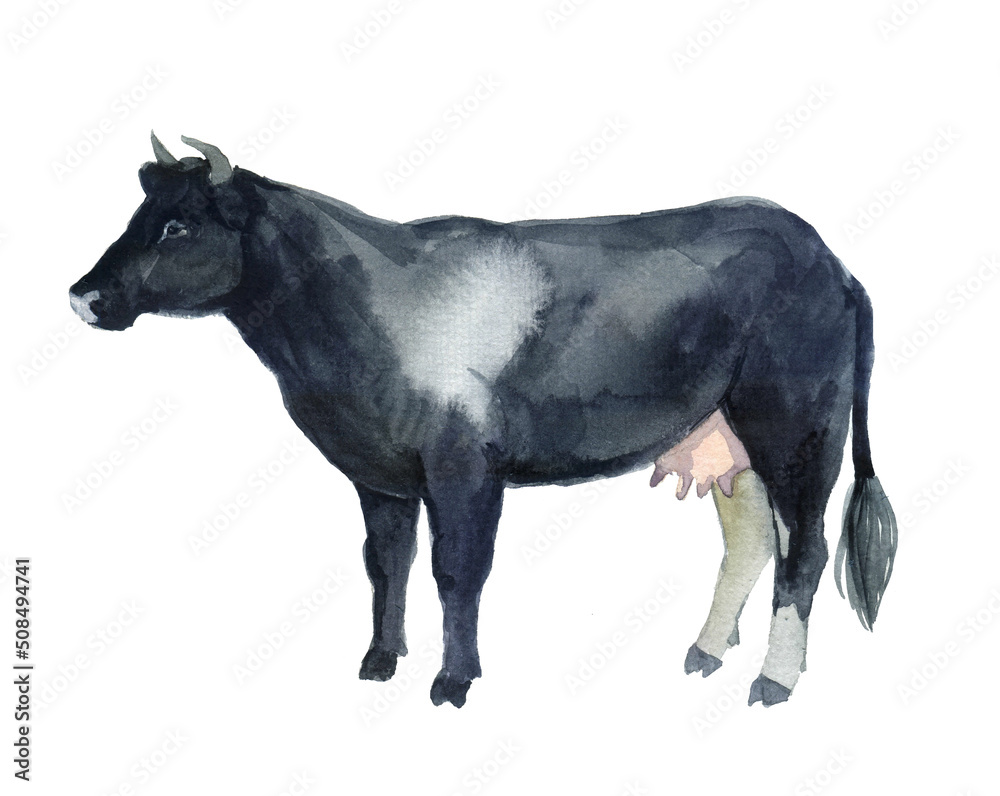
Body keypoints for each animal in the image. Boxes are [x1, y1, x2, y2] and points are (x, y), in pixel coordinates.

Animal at [69, 133, 897, 708]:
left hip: (797, 425)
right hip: (723, 435)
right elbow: (386, 562)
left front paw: (453, 681)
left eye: (178, 227)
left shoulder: (464, 465)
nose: (83, 295)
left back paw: (773, 682)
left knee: (804, 550)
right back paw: (705, 653)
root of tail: (831, 260)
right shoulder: (381, 474)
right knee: (751, 538)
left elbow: (456, 570)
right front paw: (379, 662)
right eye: (141, 213)